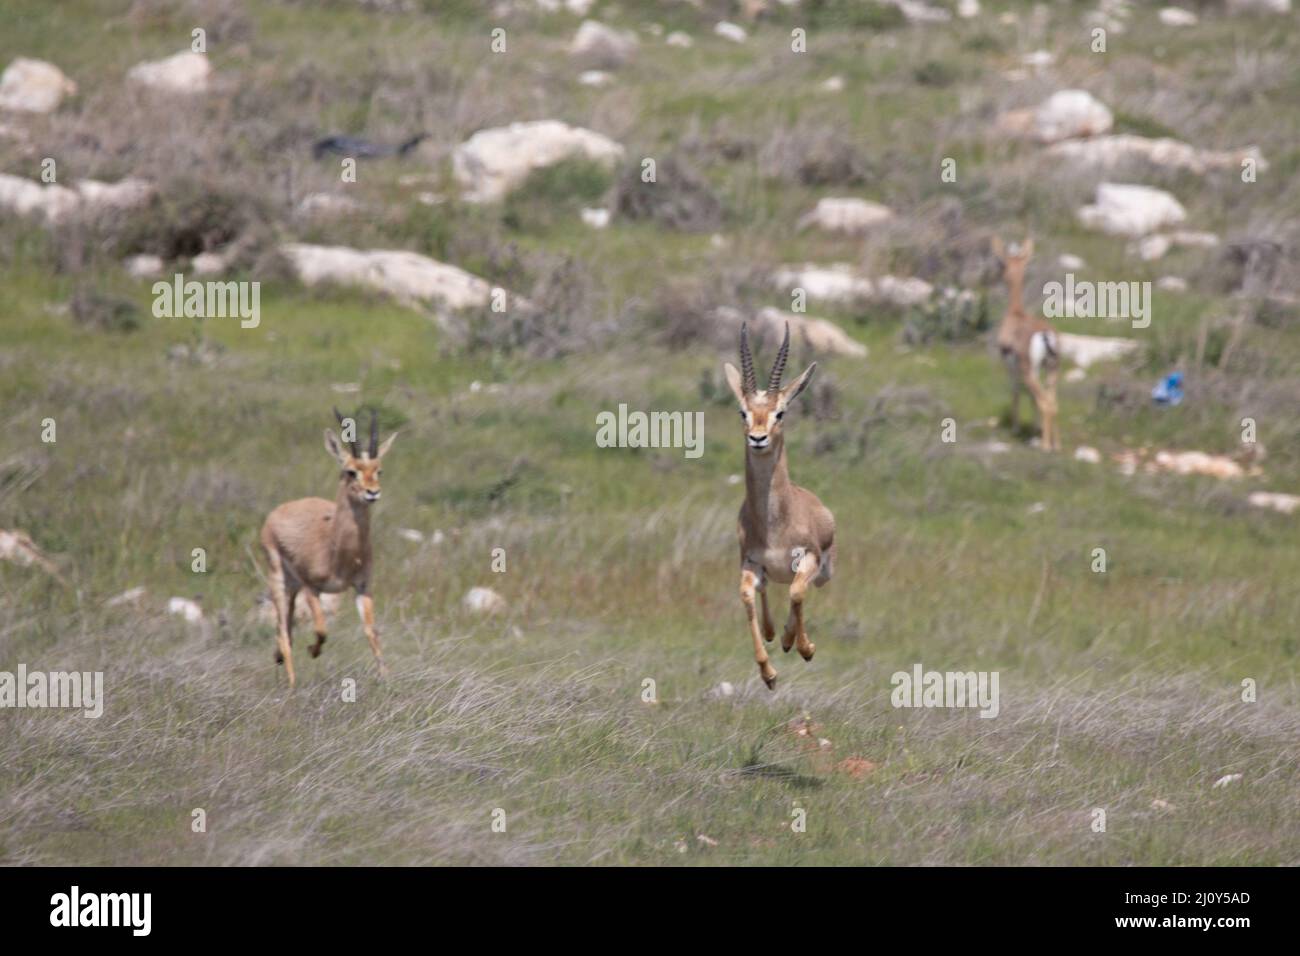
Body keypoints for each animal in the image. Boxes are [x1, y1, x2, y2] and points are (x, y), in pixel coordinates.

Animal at [259, 409, 396, 687]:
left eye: (379, 470)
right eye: (351, 471)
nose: (372, 492)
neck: (337, 550)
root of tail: (278, 512)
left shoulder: (362, 587)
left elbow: (372, 631)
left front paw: (386, 678)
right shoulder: (312, 587)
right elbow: (322, 629)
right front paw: (312, 651)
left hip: (293, 586)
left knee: (286, 626)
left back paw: (279, 658)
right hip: (280, 579)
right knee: (284, 629)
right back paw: (291, 683)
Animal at [723, 324, 835, 690]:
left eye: (780, 412)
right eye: (743, 411)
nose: (758, 438)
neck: (775, 524)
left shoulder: (808, 558)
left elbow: (798, 594)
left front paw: (805, 648)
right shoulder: (750, 563)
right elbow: (747, 596)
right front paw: (768, 673)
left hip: (824, 572)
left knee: (800, 589)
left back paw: (788, 640)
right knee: (768, 592)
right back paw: (775, 635)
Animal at [992, 237, 1061, 451]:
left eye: (1001, 264)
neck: (1016, 314)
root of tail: (1045, 335)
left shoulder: (1011, 368)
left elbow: (1015, 393)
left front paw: (1016, 430)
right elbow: (1031, 400)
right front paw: (1034, 431)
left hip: (1030, 371)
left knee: (1044, 402)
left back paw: (1045, 447)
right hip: (1052, 371)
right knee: (1053, 403)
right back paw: (1057, 445)